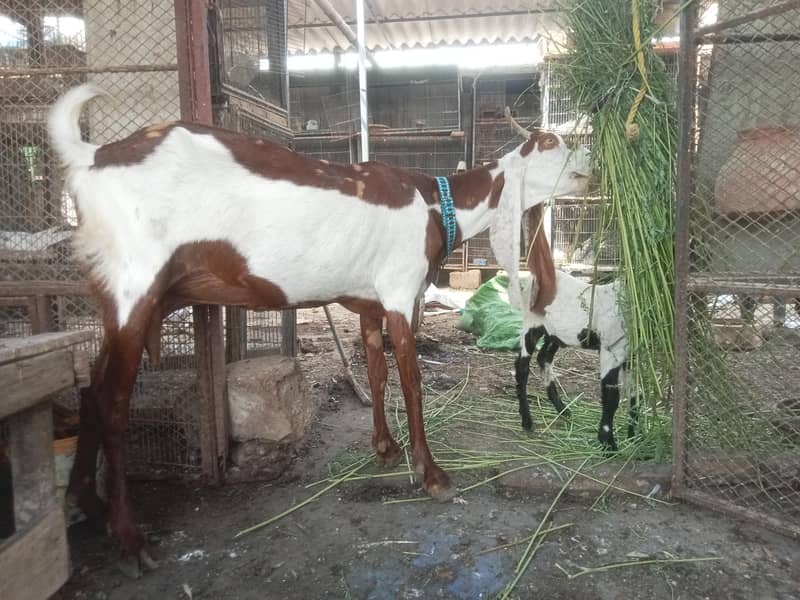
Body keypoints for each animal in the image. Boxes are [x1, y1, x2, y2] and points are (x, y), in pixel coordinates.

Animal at [48, 84, 590, 571]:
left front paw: (385, 448)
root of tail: (93, 156)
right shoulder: (399, 292)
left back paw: (85, 502)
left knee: (90, 391)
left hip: (118, 294)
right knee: (113, 402)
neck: (435, 203)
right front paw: (431, 473)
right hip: (134, 285)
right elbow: (412, 382)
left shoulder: (369, 303)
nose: (590, 169)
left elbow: (376, 373)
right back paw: (128, 536)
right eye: (548, 145)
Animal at [515, 270, 637, 451]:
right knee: (522, 368)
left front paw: (636, 437)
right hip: (531, 324)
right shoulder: (610, 351)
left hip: (554, 334)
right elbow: (611, 397)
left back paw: (563, 410)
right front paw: (608, 444)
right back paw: (527, 421)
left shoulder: (632, 356)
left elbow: (636, 394)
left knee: (544, 358)